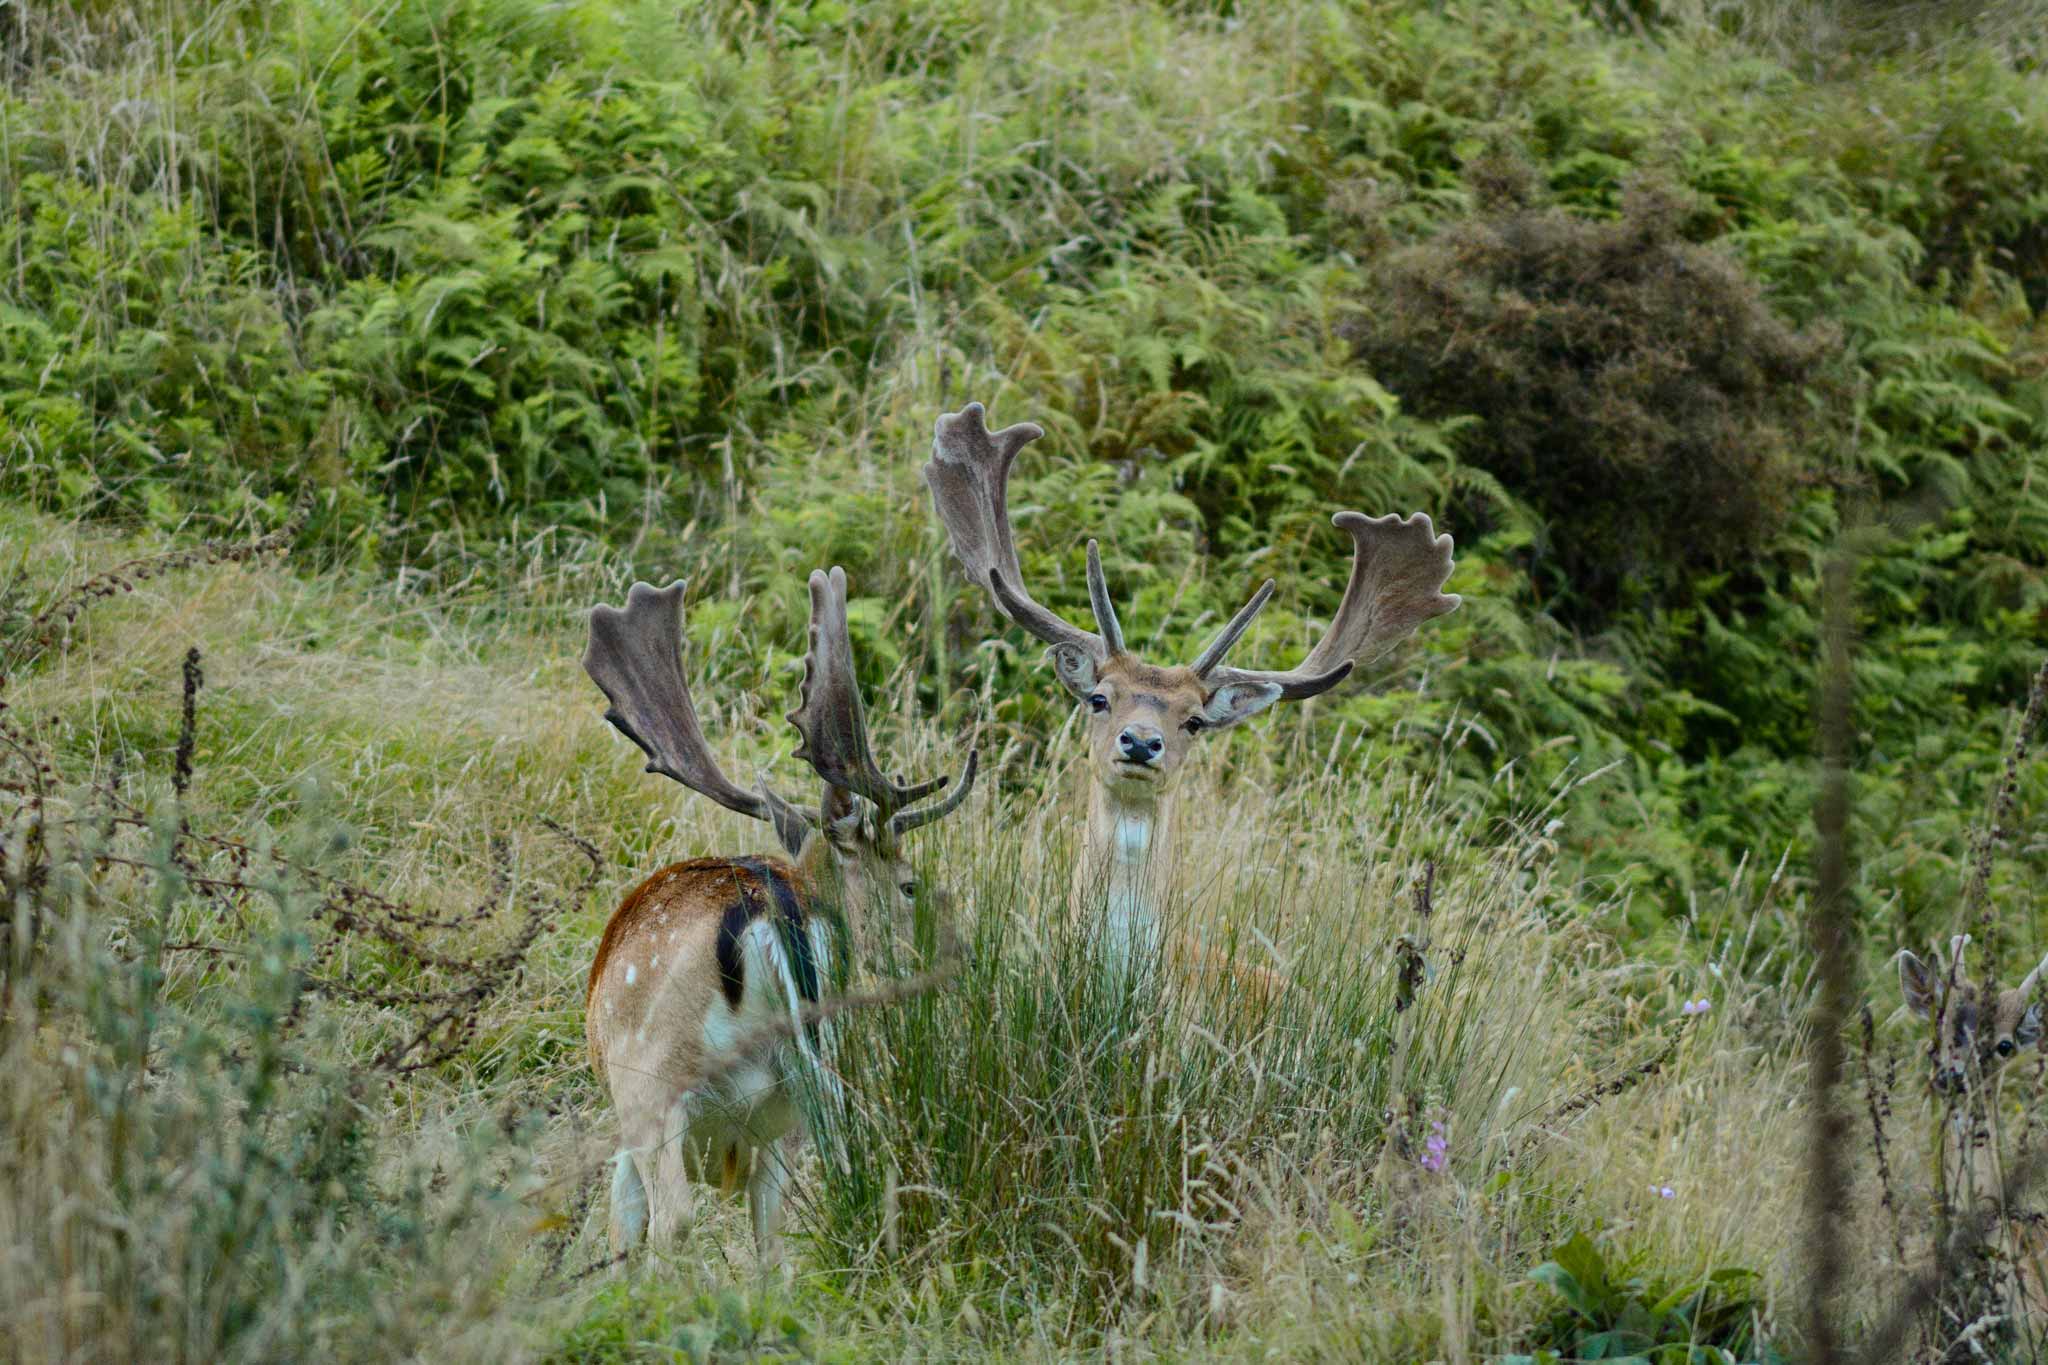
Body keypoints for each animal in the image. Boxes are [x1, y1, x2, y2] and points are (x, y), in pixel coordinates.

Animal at [581, 568, 976, 1265]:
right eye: (910, 885)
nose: (959, 948)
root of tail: (778, 911)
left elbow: (621, 1228)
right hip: (795, 1087)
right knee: (774, 1230)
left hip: (652, 1082)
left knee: (674, 1221)